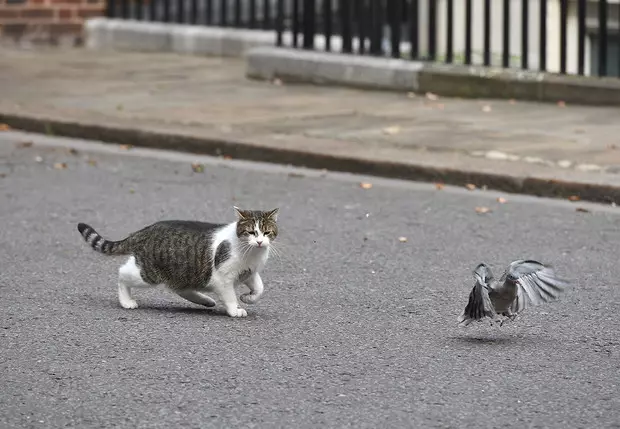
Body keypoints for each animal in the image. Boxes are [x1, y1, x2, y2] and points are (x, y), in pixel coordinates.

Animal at [76, 206, 280, 316]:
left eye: (267, 232)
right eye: (251, 232)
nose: (260, 242)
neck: (252, 254)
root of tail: (145, 230)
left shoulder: (250, 272)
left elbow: (260, 288)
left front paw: (249, 297)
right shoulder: (223, 278)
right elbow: (229, 296)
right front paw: (235, 309)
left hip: (183, 271)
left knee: (180, 288)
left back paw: (205, 300)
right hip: (149, 273)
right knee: (122, 273)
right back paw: (126, 301)